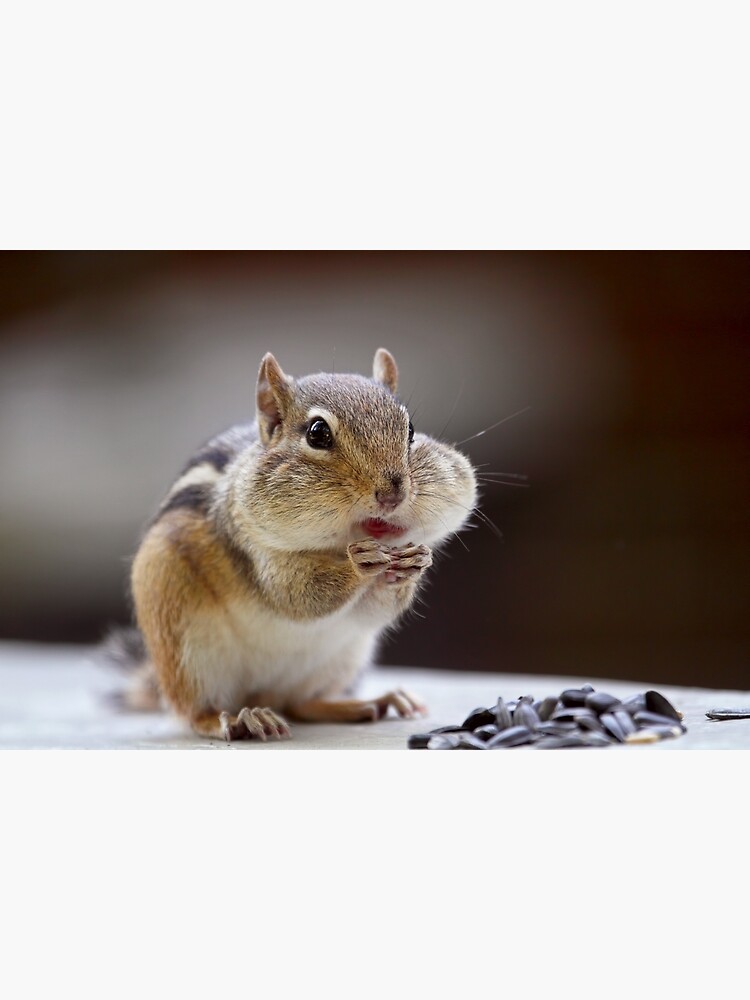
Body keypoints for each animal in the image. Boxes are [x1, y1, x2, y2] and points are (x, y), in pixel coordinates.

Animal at [105, 348, 477, 741]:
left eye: (410, 431)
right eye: (318, 433)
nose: (393, 494)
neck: (331, 547)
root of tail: (262, 694)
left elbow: (374, 610)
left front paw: (414, 564)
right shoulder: (255, 549)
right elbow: (296, 594)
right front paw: (359, 564)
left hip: (343, 658)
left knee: (301, 703)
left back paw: (372, 702)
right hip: (183, 649)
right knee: (193, 712)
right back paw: (237, 719)